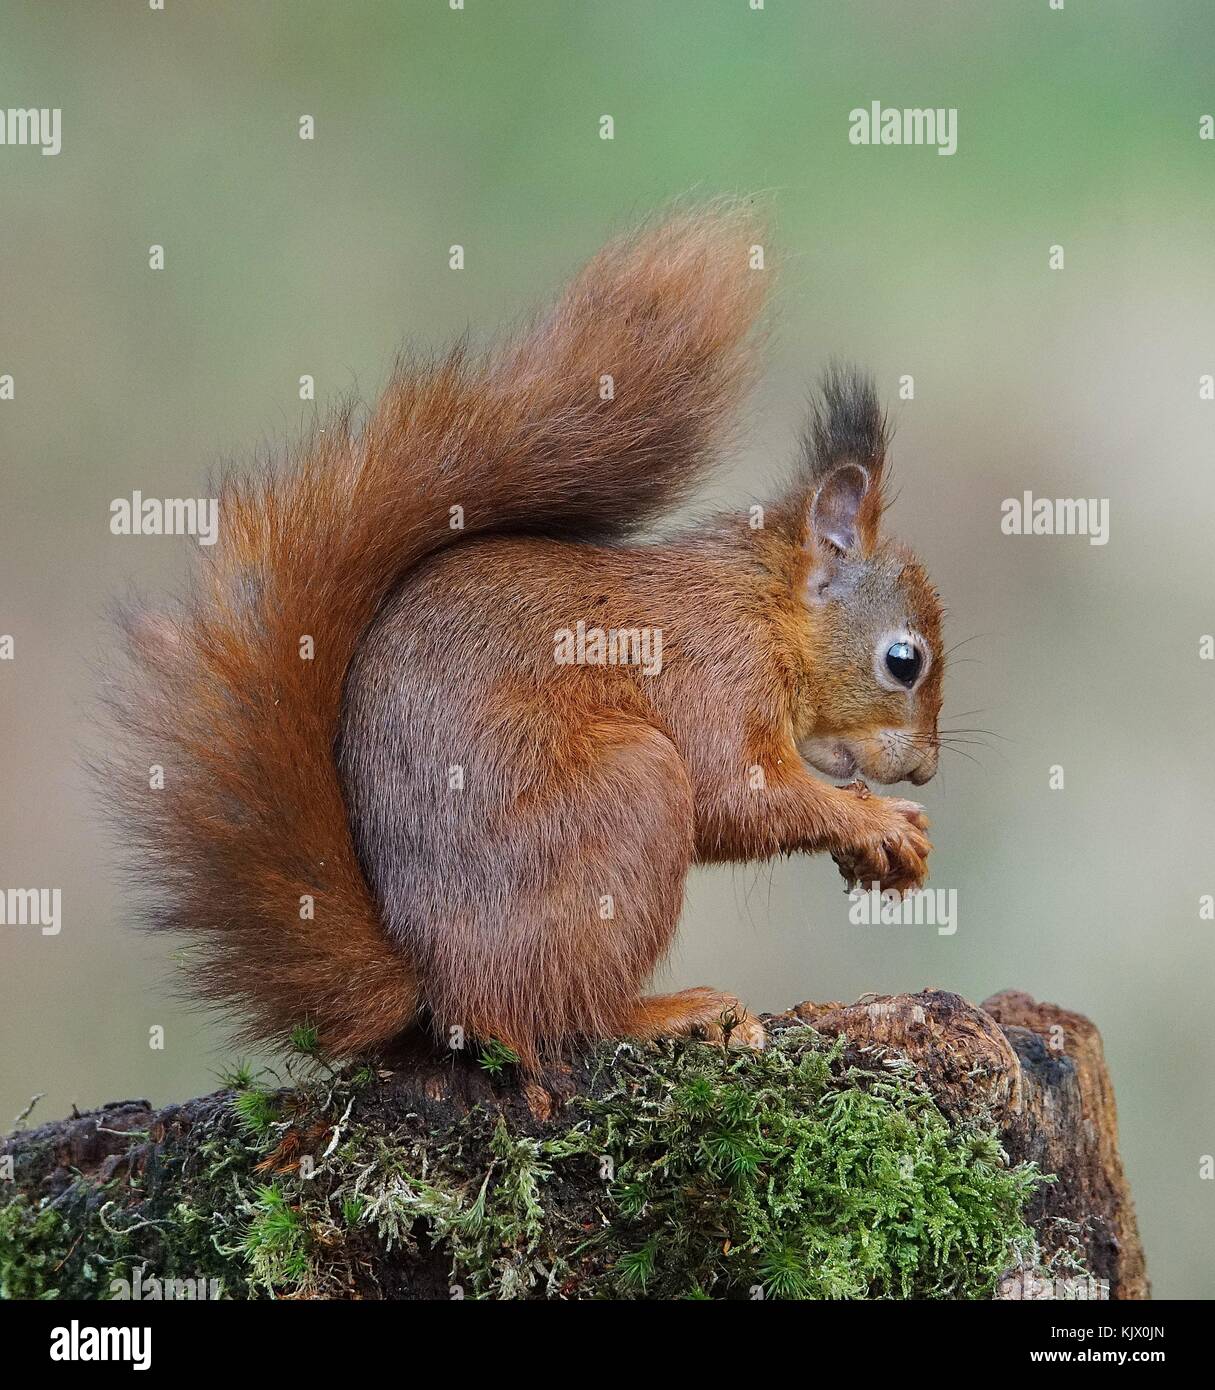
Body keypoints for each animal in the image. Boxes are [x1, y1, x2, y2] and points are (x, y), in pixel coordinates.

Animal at [104, 204, 941, 1071]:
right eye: (902, 661)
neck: (763, 606)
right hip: (627, 796)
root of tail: (436, 989)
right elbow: (732, 796)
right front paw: (876, 822)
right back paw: (666, 1013)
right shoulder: (717, 673)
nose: (923, 768)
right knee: (556, 1013)